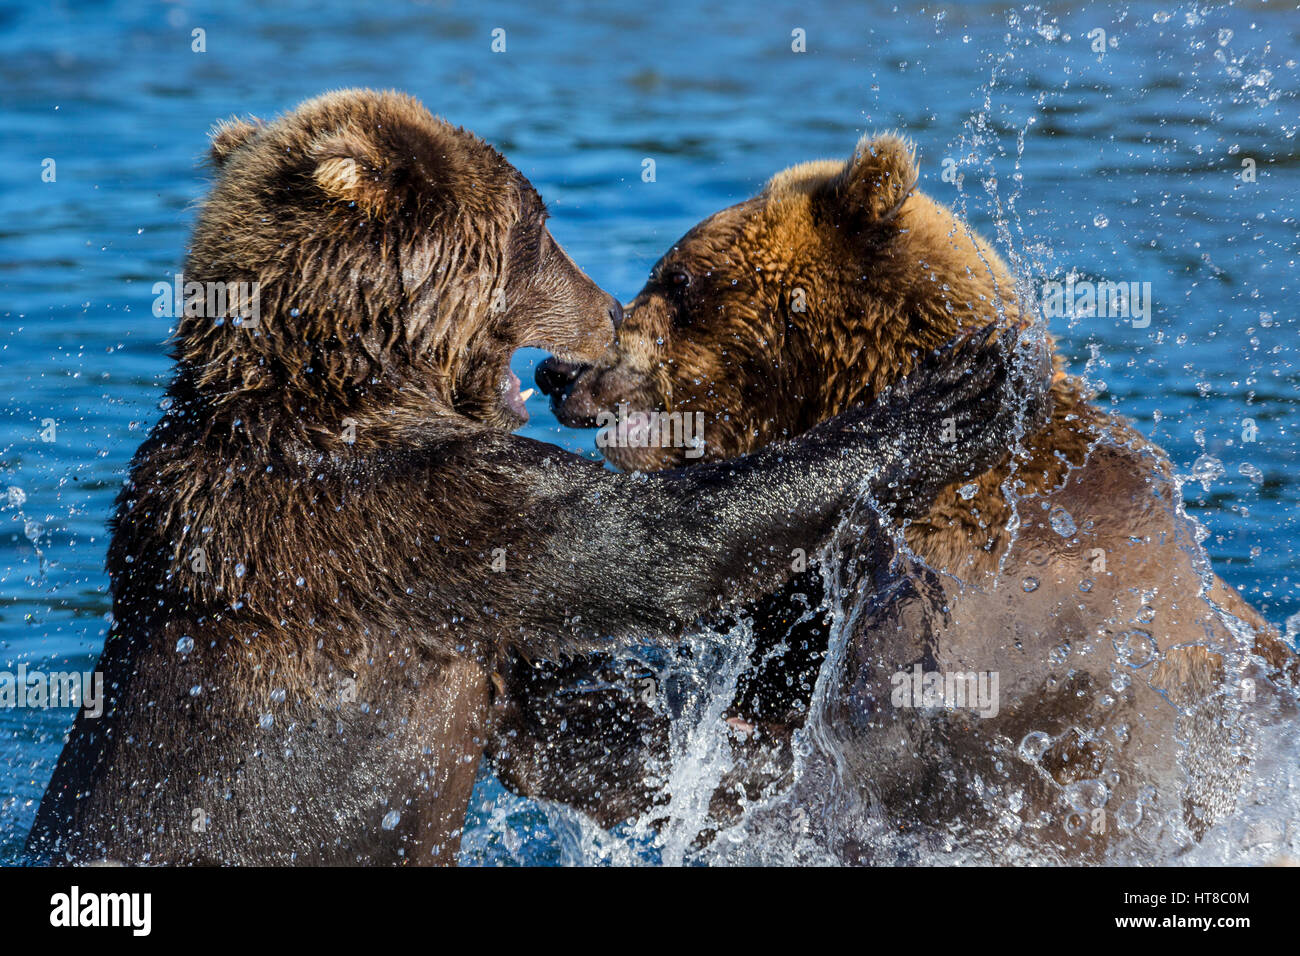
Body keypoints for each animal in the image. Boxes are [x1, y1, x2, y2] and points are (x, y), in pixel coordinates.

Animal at [23, 95, 1048, 866]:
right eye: (540, 226)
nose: (602, 313)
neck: (344, 382)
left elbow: (580, 720)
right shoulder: (417, 523)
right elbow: (664, 547)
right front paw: (964, 387)